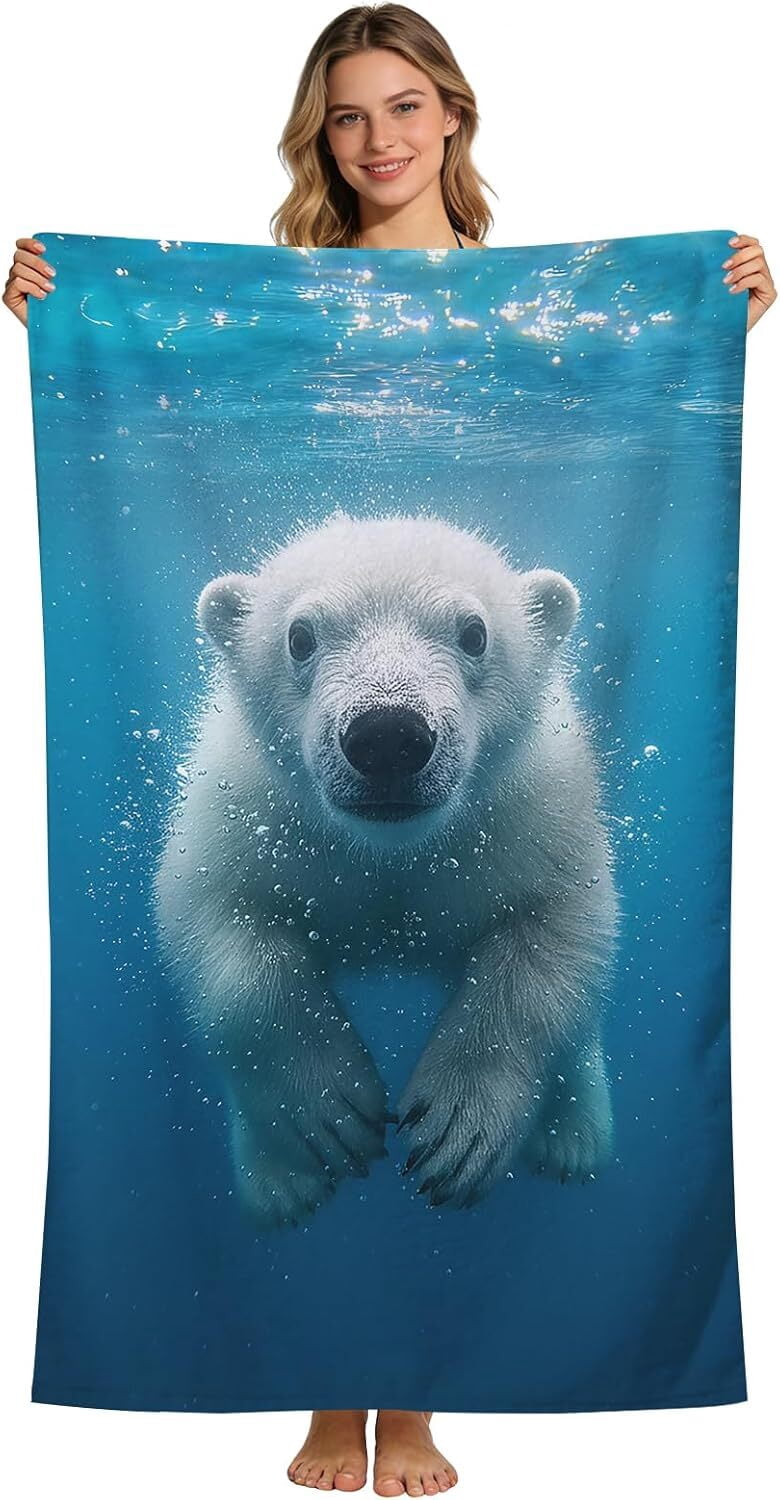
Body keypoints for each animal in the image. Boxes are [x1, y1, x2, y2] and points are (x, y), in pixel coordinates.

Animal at [153, 511, 620, 1230]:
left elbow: (555, 930)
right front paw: (326, 1114)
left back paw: (571, 1139)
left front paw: (458, 1129)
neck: (389, 849)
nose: (388, 735)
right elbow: (221, 928)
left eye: (474, 632)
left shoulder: (533, 814)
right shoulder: (244, 814)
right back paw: (277, 1184)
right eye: (300, 636)